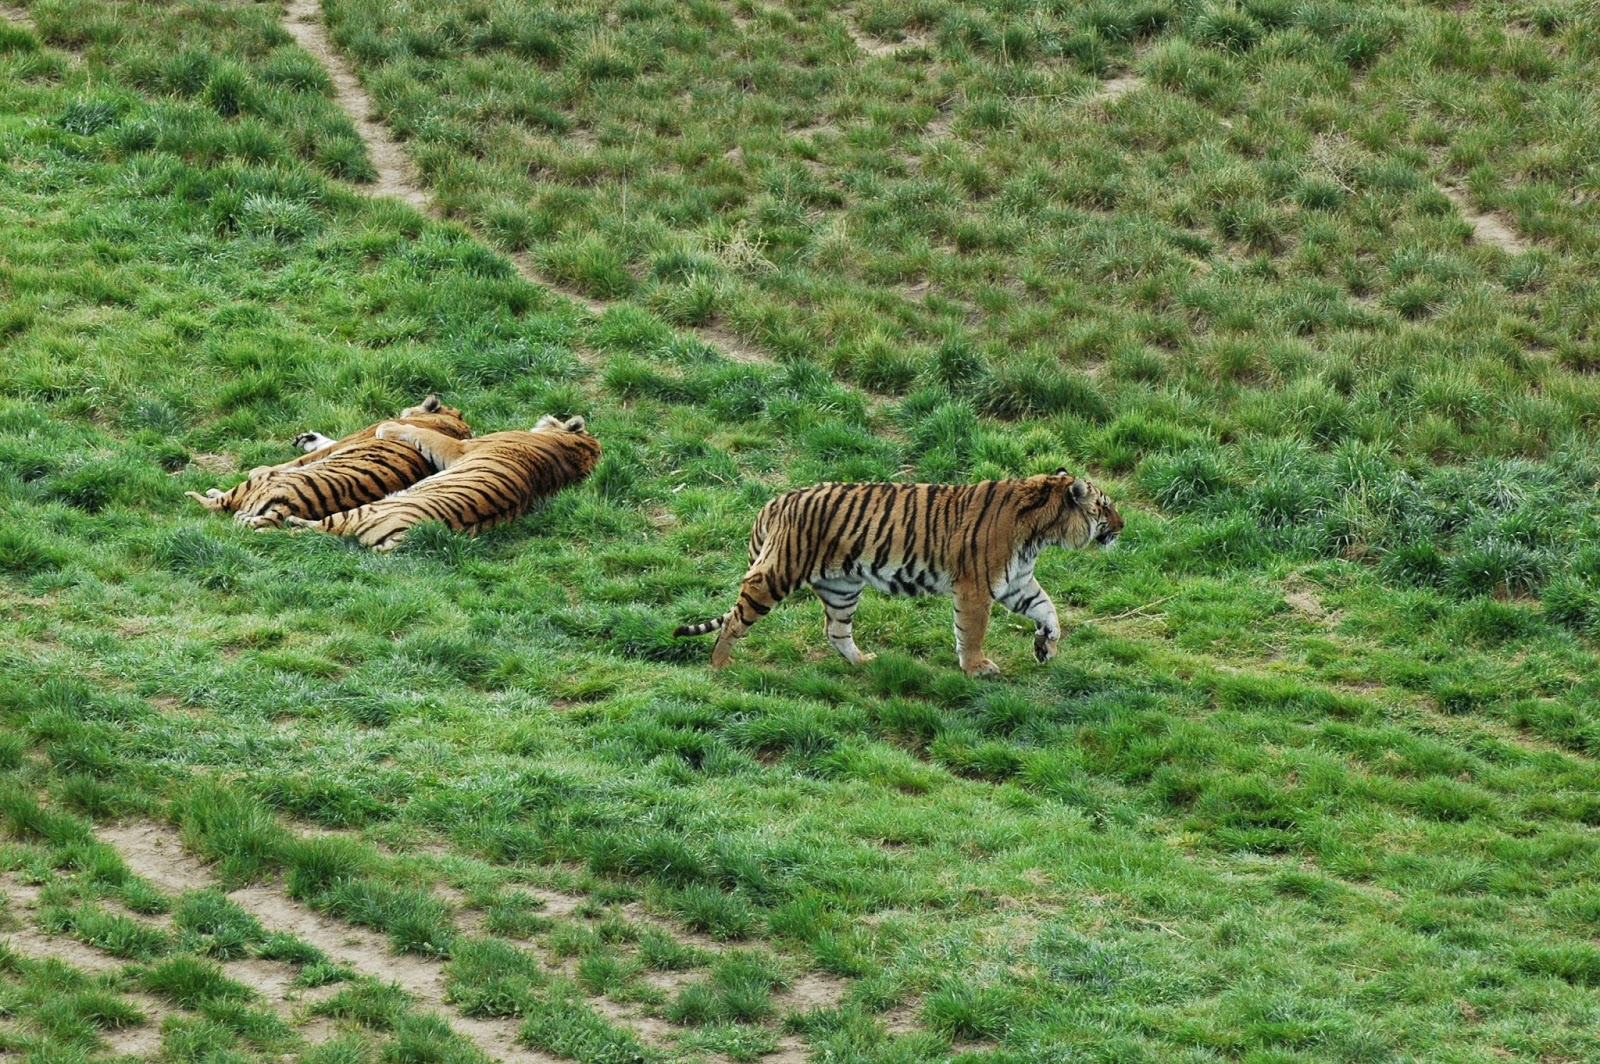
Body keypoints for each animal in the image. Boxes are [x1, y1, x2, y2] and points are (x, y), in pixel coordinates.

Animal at [185, 396, 472, 528]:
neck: (449, 427)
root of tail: (286, 509)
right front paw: (309, 437)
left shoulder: (352, 438)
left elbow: (303, 458)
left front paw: (259, 467)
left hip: (258, 488)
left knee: (219, 503)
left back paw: (204, 492)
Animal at [285, 415, 600, 551]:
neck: (570, 454)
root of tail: (408, 536)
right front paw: (310, 439)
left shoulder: (457, 448)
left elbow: (419, 432)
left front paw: (388, 427)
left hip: (364, 511)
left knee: (324, 529)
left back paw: (290, 524)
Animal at [672, 471, 1123, 677]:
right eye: (1105, 507)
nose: (1123, 525)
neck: (1040, 533)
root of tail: (777, 499)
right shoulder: (976, 587)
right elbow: (972, 631)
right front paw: (977, 667)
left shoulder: (1017, 583)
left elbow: (1049, 611)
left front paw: (1046, 647)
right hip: (779, 571)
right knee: (736, 616)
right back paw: (720, 664)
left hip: (842, 587)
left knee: (835, 629)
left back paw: (862, 662)